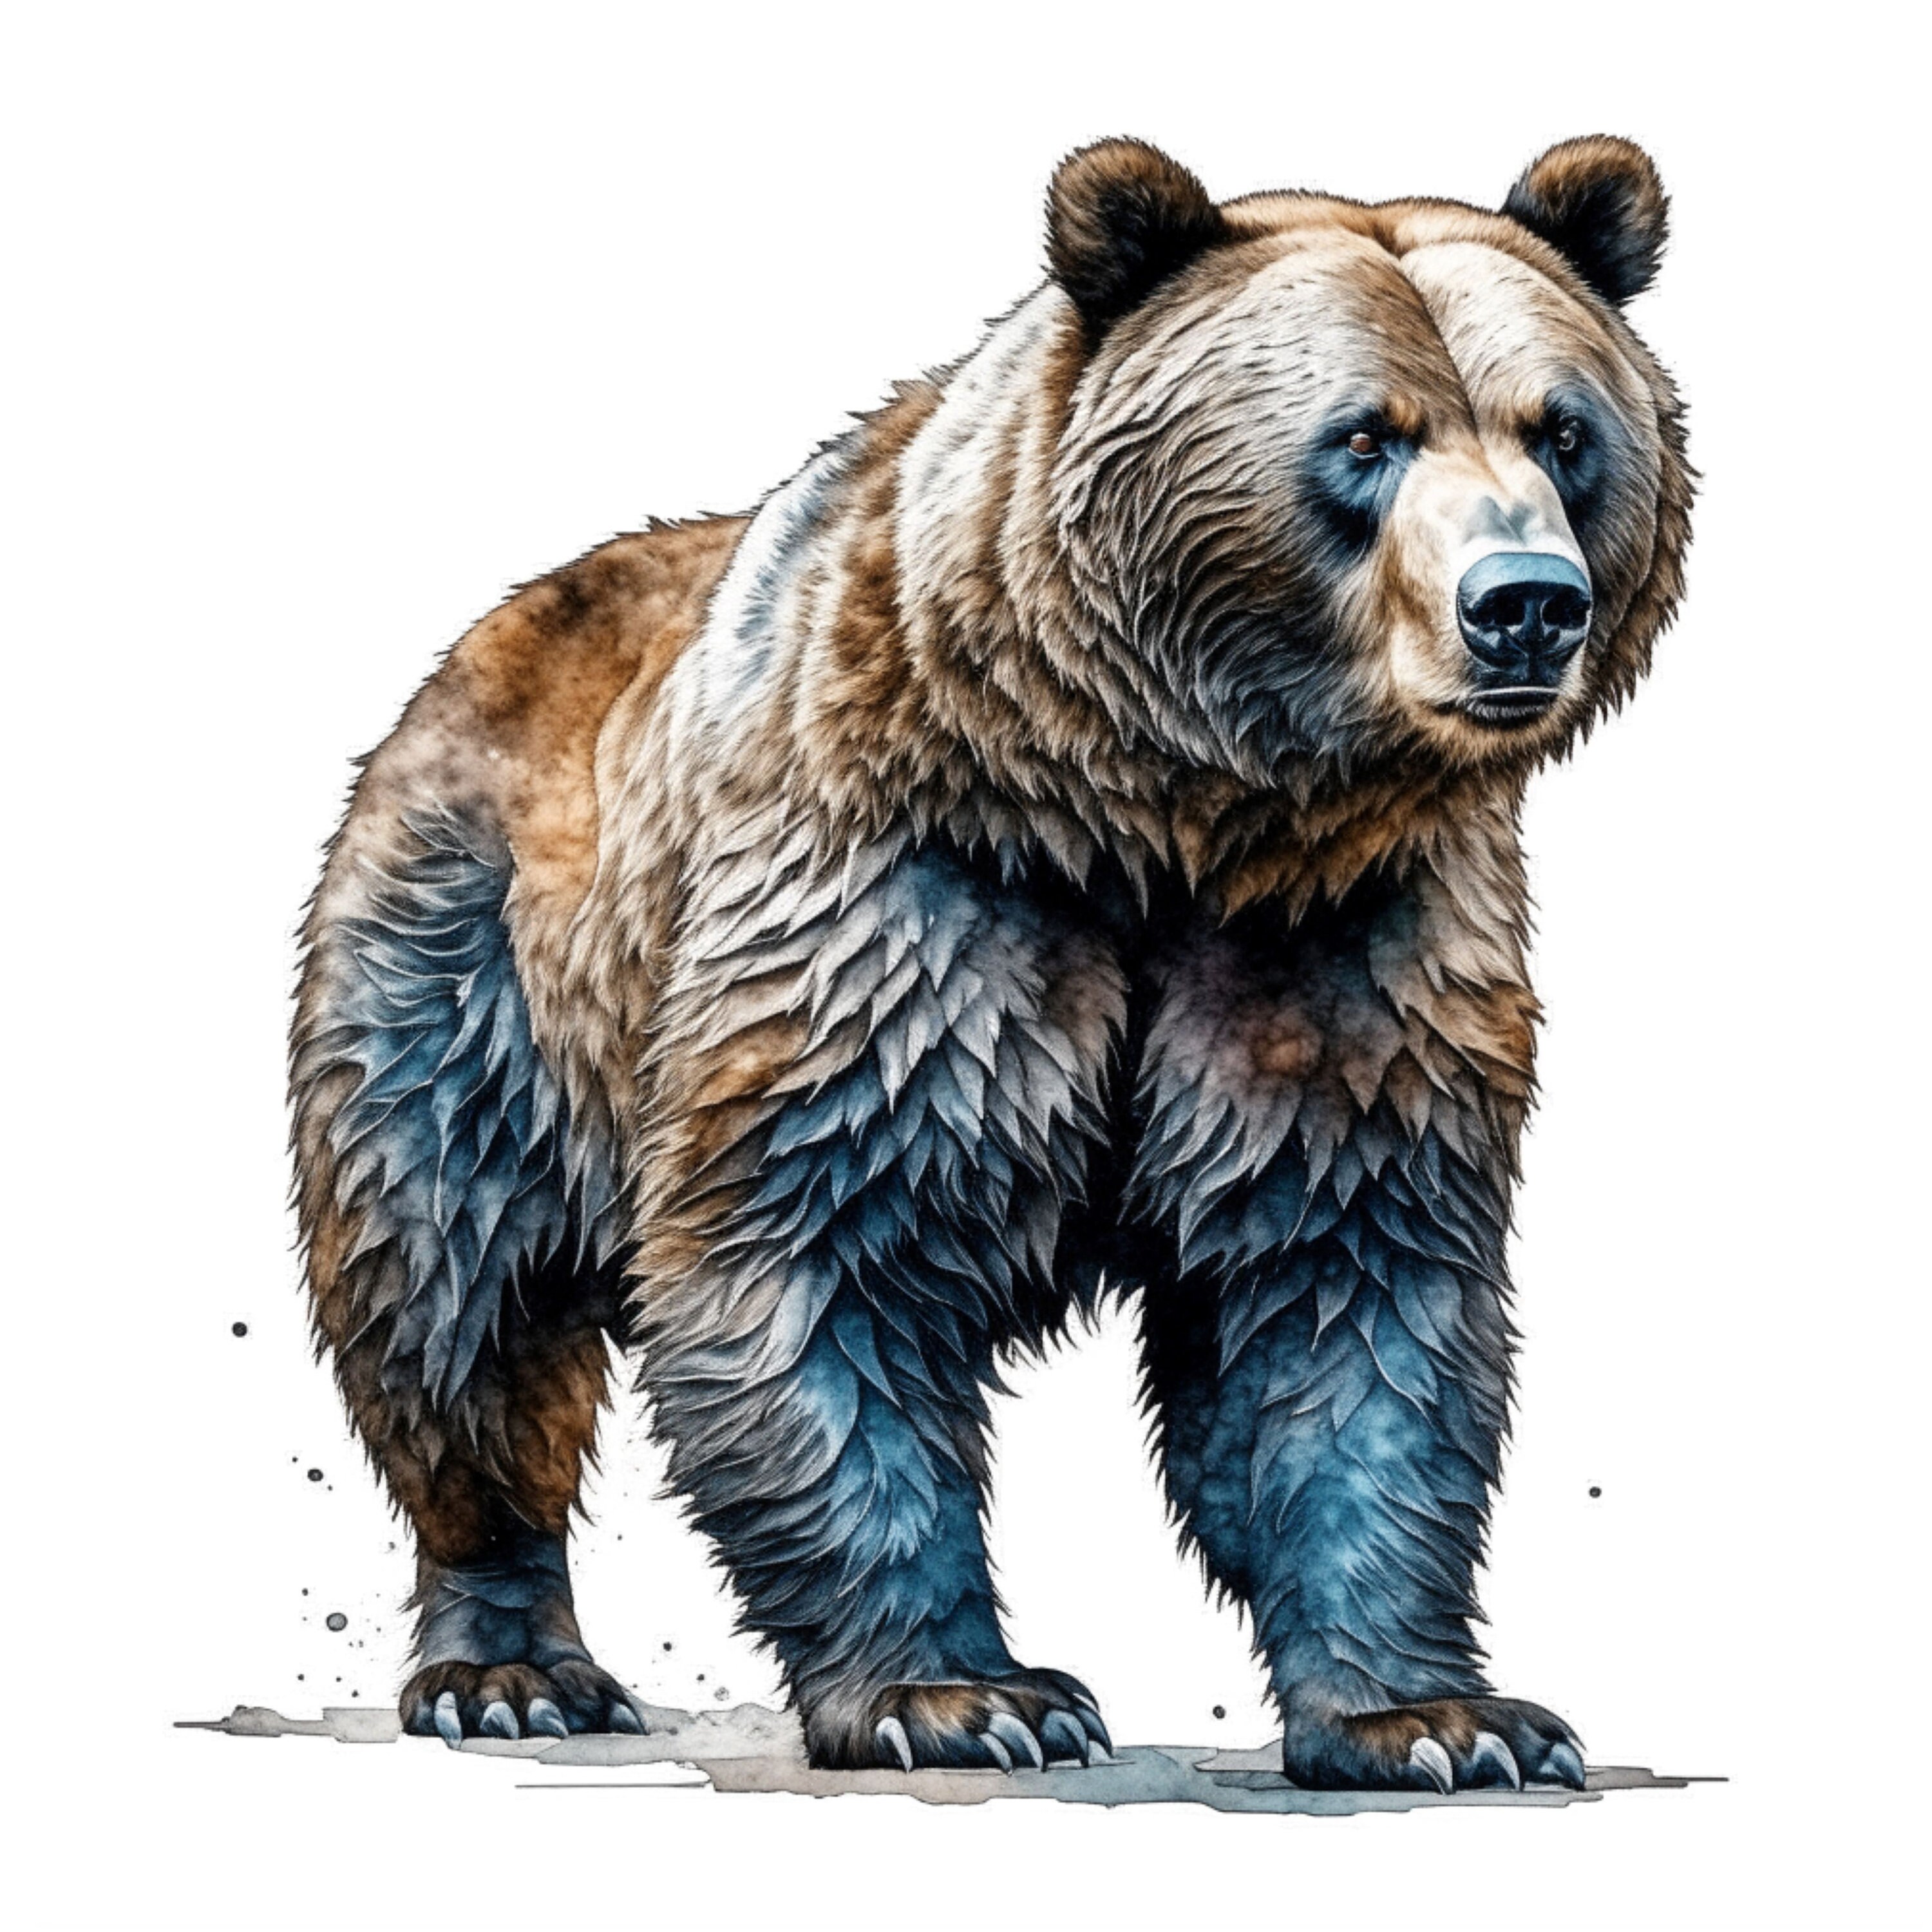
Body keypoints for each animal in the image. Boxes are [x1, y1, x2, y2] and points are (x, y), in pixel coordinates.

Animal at [290, 134, 1691, 1791]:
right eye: (1364, 438)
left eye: (1564, 430)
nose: (1525, 602)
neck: (1172, 813)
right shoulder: (898, 899)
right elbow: (821, 1247)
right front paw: (959, 1694)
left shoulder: (1342, 950)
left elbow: (1348, 1296)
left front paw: (1435, 1717)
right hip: (465, 971)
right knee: (460, 1311)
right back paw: (510, 1666)